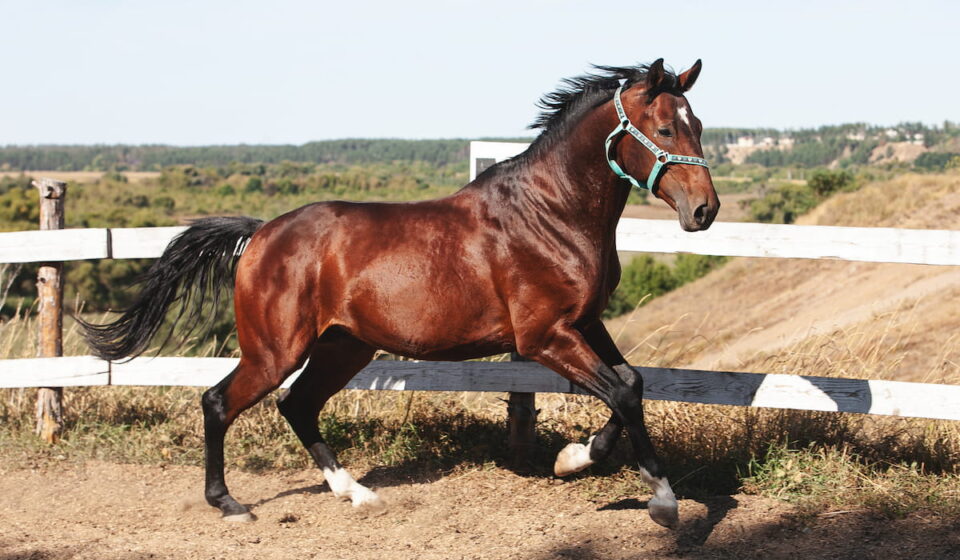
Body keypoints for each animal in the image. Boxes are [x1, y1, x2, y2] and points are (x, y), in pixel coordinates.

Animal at [80, 58, 719, 529]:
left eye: (699, 126)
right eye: (665, 128)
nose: (704, 211)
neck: (549, 213)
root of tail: (260, 234)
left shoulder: (584, 324)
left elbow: (632, 384)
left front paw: (574, 459)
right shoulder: (544, 337)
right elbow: (623, 391)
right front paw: (662, 502)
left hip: (343, 346)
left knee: (297, 405)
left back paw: (355, 493)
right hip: (275, 350)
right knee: (219, 402)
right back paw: (229, 504)